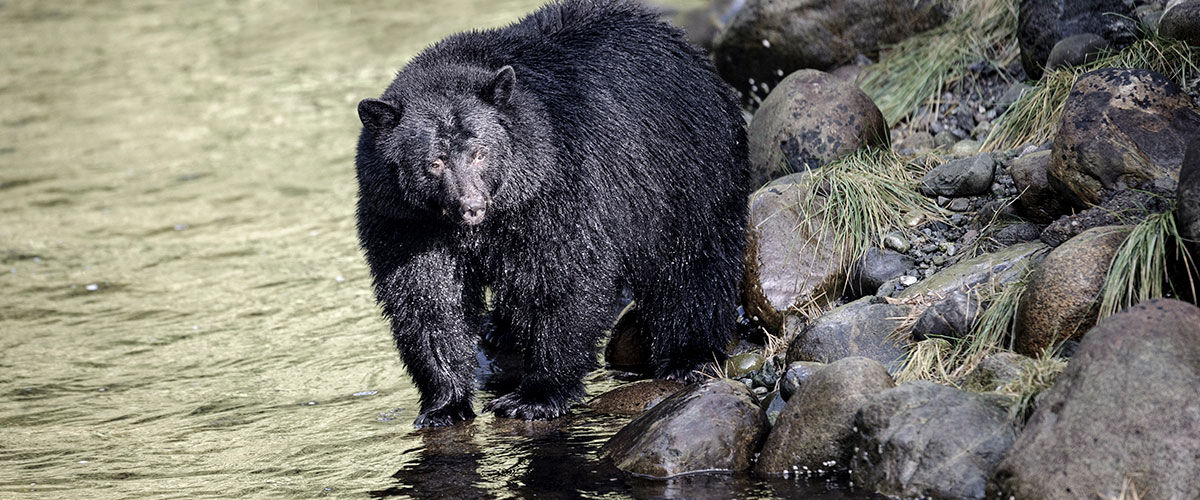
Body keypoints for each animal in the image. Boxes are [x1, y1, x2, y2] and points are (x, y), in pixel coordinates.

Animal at [354, 0, 752, 427]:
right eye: (435, 162)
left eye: (479, 152)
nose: (471, 207)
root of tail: (683, 45)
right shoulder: (404, 220)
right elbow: (427, 299)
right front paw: (443, 404)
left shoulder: (557, 186)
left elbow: (562, 278)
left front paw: (535, 395)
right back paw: (500, 328)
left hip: (688, 166)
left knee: (695, 261)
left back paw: (688, 356)